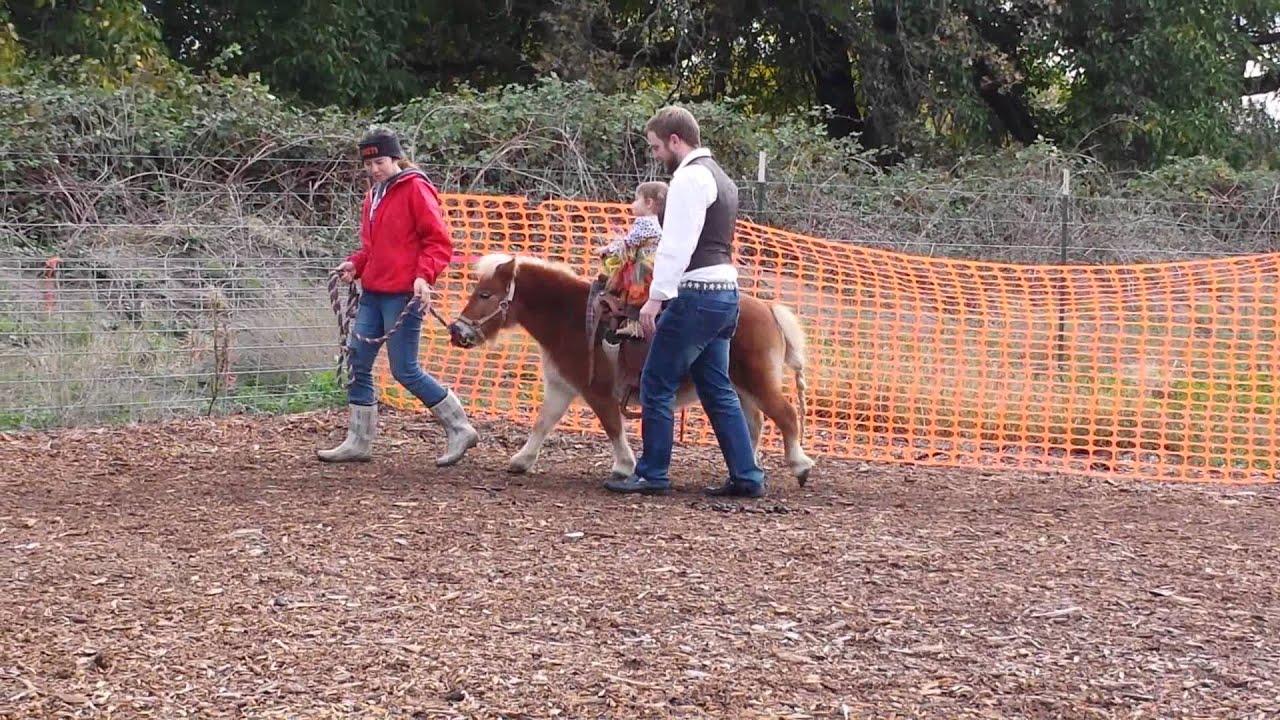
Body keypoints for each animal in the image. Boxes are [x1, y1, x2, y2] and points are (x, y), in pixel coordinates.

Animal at [446, 252, 816, 487]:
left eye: (485, 294)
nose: (457, 331)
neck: (572, 317)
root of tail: (768, 309)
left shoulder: (597, 391)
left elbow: (612, 426)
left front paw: (624, 467)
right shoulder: (561, 386)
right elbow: (543, 422)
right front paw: (521, 461)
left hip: (757, 381)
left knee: (785, 415)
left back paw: (799, 465)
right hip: (740, 387)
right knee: (753, 424)